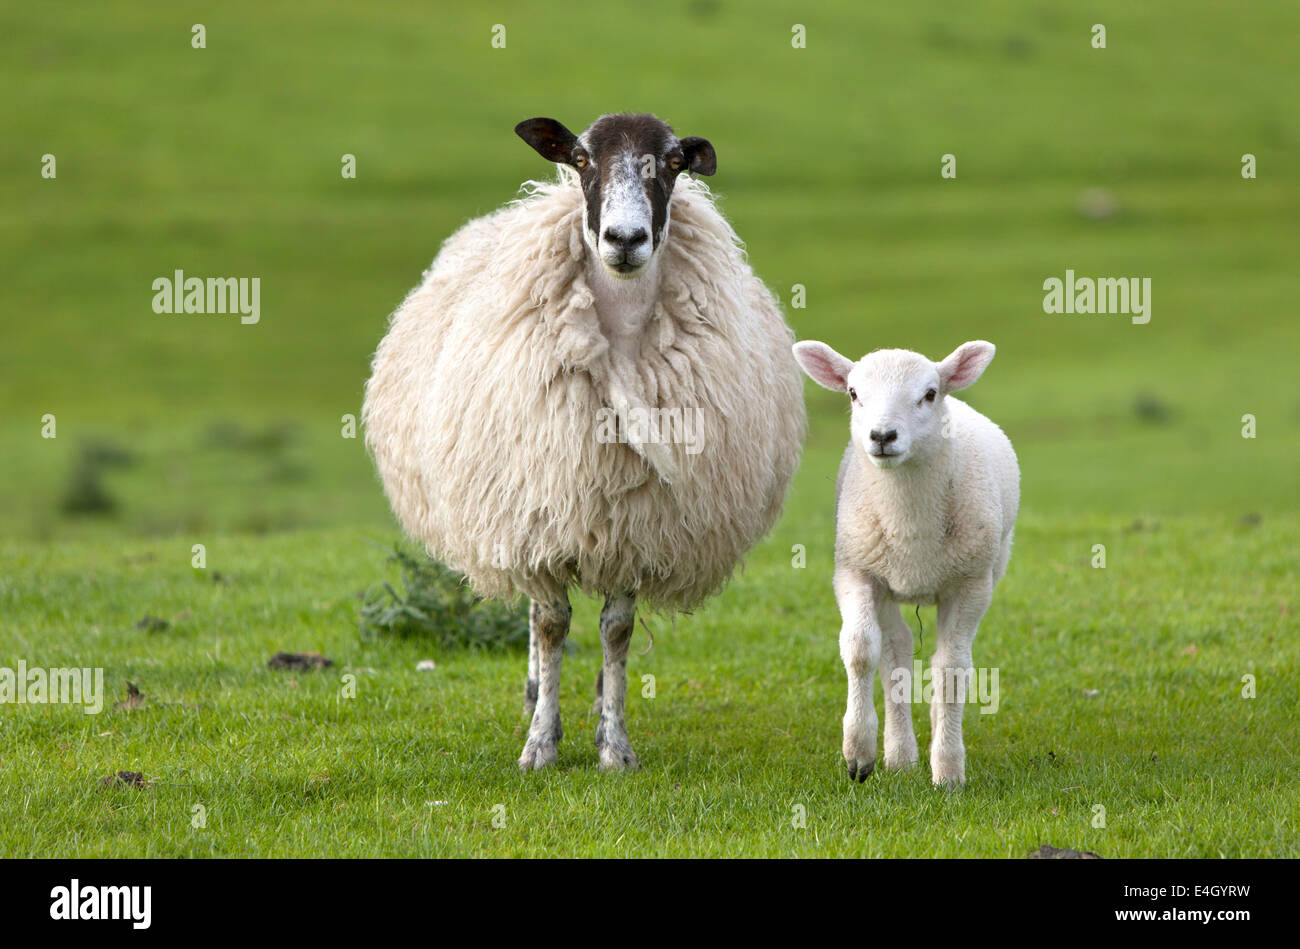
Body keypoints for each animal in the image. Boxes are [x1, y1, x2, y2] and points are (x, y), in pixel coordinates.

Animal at [363, 113, 805, 773]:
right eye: (580, 158)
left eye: (674, 162)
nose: (625, 238)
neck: (618, 344)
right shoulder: (535, 517)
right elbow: (550, 624)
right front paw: (540, 743)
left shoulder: (636, 524)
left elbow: (616, 631)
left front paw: (614, 744)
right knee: (533, 616)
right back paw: (532, 692)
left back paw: (598, 699)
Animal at [792, 339, 1019, 787]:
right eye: (853, 393)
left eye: (928, 394)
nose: (882, 435)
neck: (909, 523)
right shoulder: (856, 572)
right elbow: (862, 650)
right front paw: (857, 753)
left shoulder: (970, 584)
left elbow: (951, 671)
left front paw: (948, 771)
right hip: (884, 580)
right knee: (896, 651)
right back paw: (899, 756)